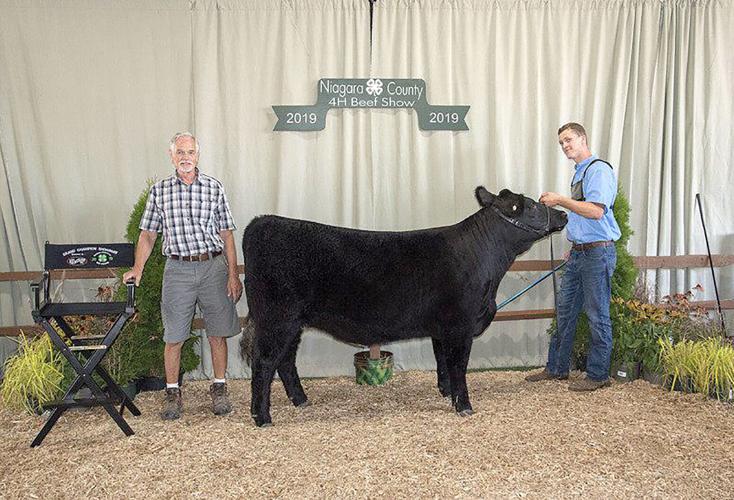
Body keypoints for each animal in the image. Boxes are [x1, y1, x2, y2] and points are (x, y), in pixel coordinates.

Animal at [241, 187, 567, 426]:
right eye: (532, 206)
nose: (563, 213)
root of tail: (262, 221)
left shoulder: (441, 327)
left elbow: (442, 362)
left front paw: (446, 393)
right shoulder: (460, 324)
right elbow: (459, 365)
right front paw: (463, 405)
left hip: (294, 321)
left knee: (285, 360)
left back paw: (300, 400)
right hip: (277, 317)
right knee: (265, 362)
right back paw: (262, 416)